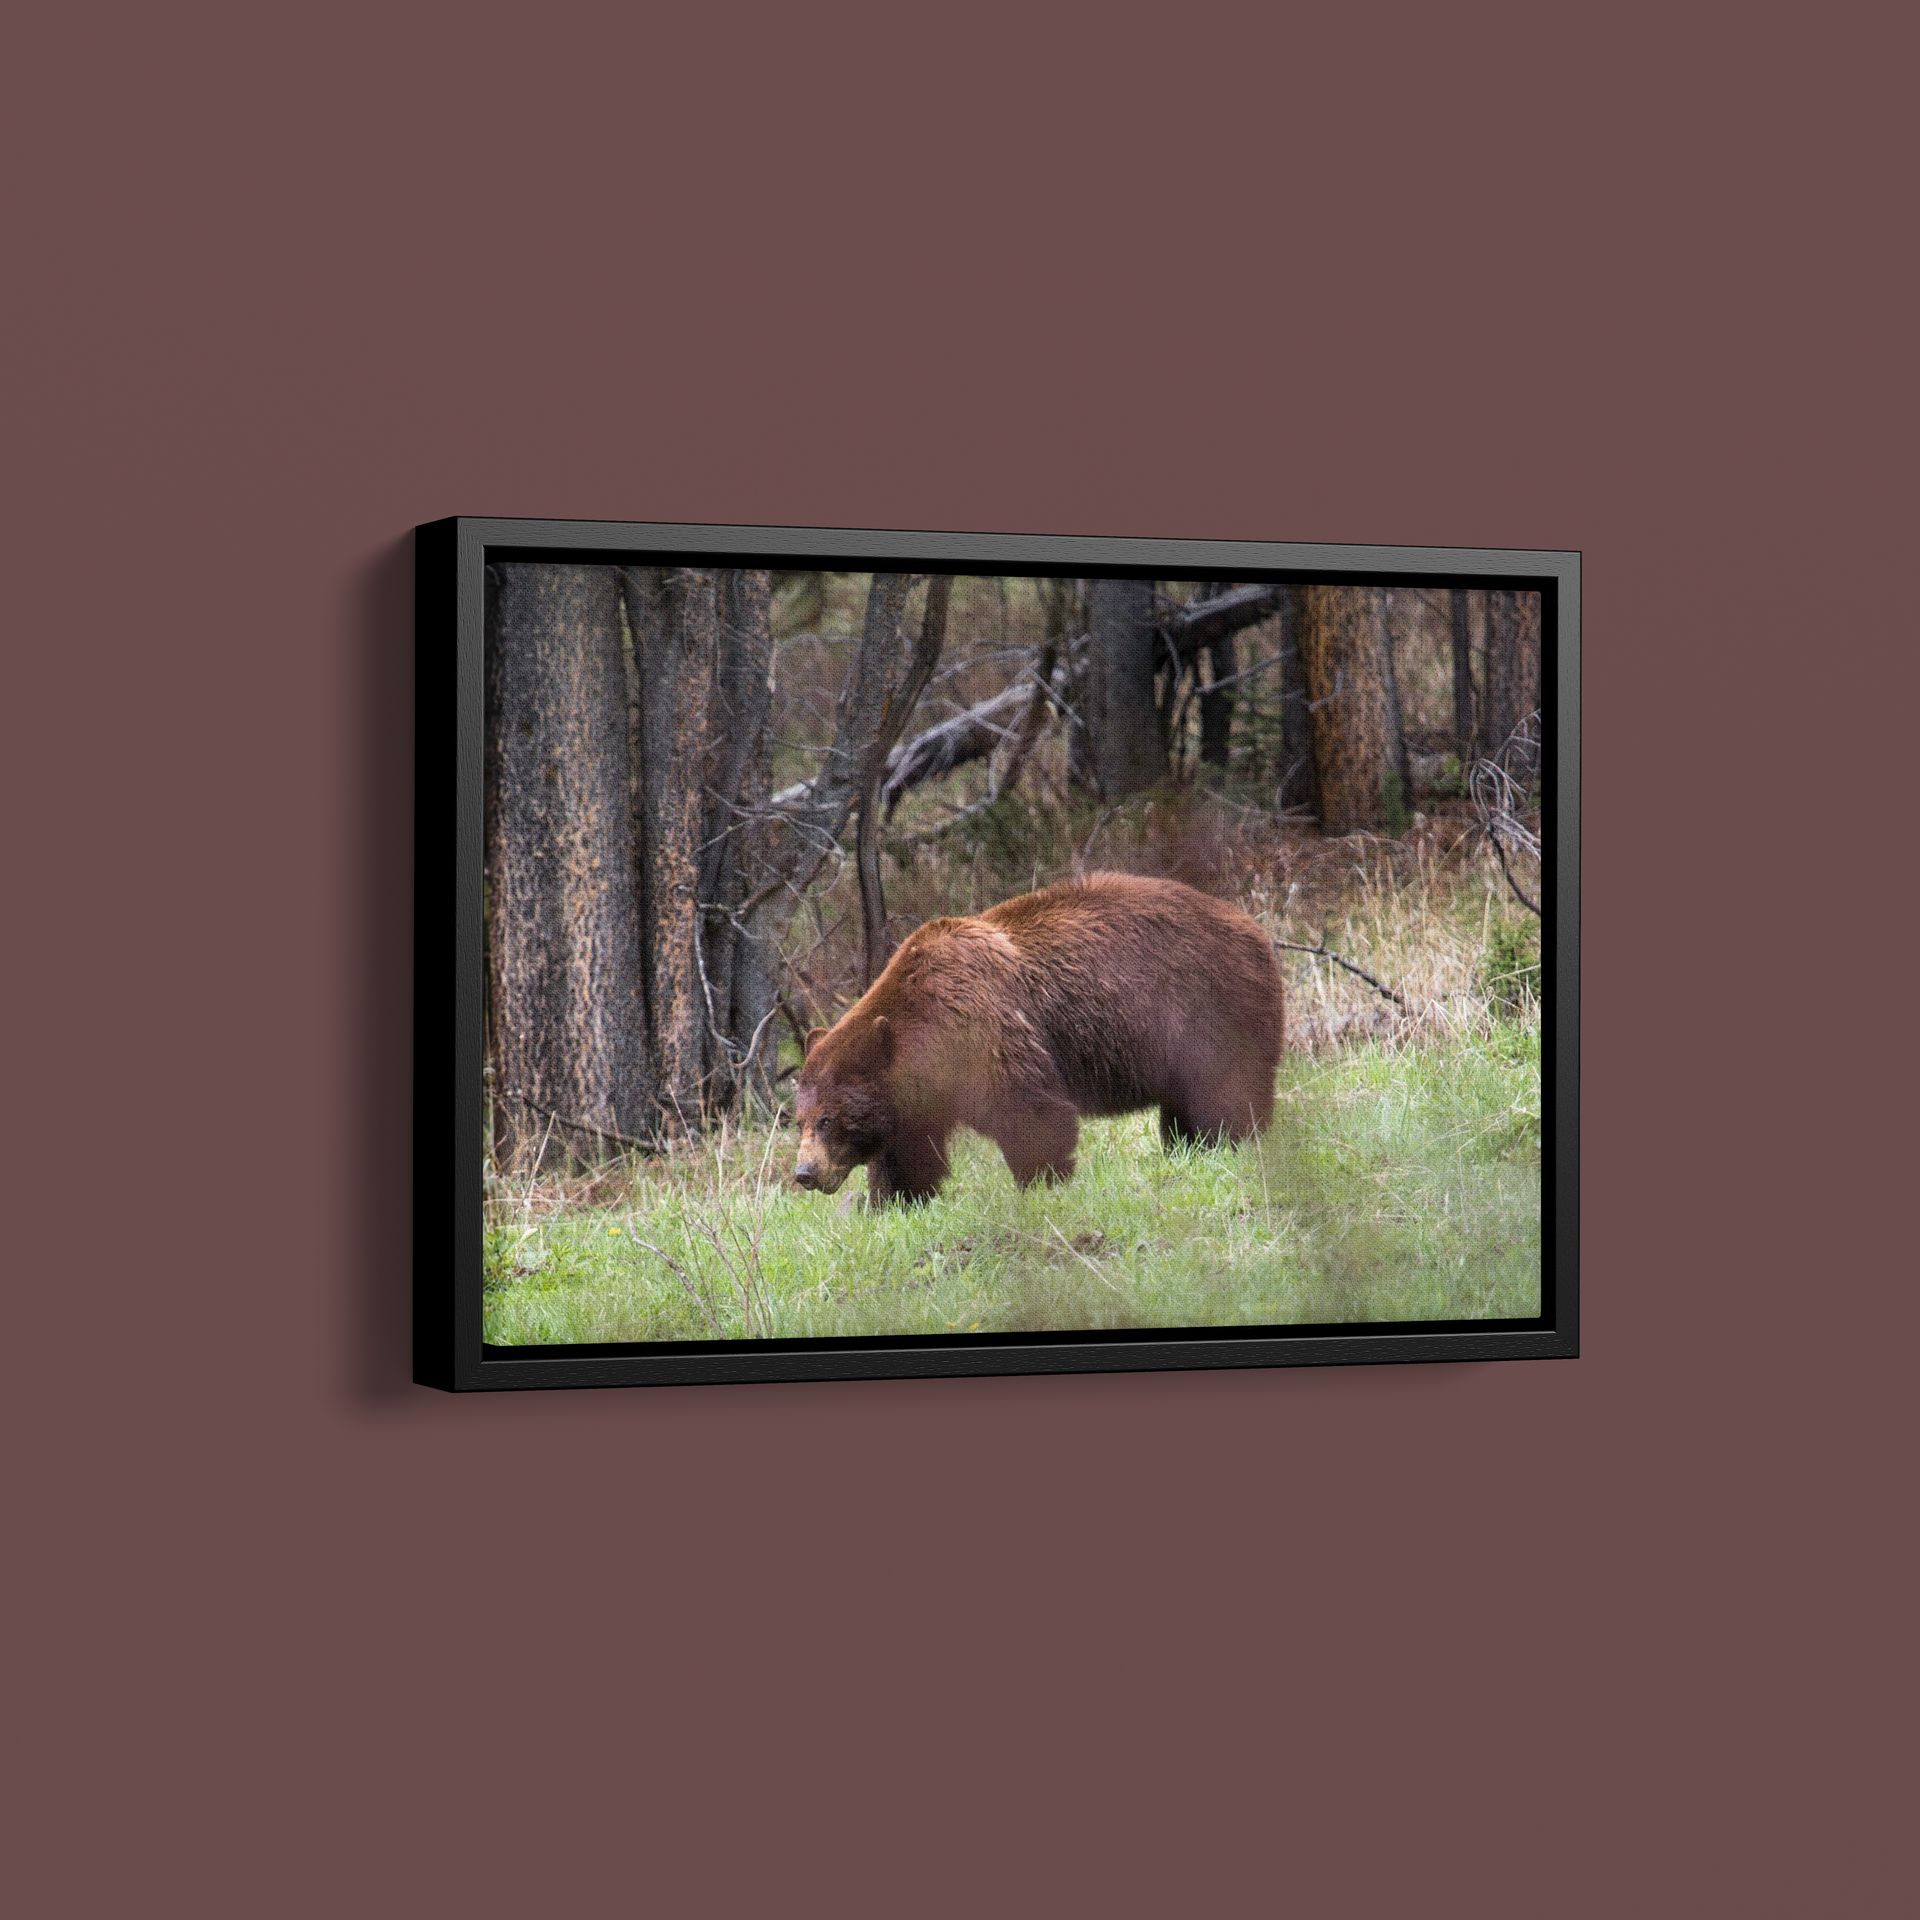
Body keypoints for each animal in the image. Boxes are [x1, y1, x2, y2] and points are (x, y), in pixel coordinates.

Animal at [792, 872, 1284, 1204]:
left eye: (828, 1120)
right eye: (799, 1119)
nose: (804, 1172)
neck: (925, 1039)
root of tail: (1254, 926)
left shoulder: (984, 1031)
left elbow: (1032, 1113)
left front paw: (1043, 1183)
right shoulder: (915, 1099)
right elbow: (907, 1157)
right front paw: (895, 1202)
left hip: (1212, 1007)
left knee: (1228, 1091)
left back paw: (1233, 1142)